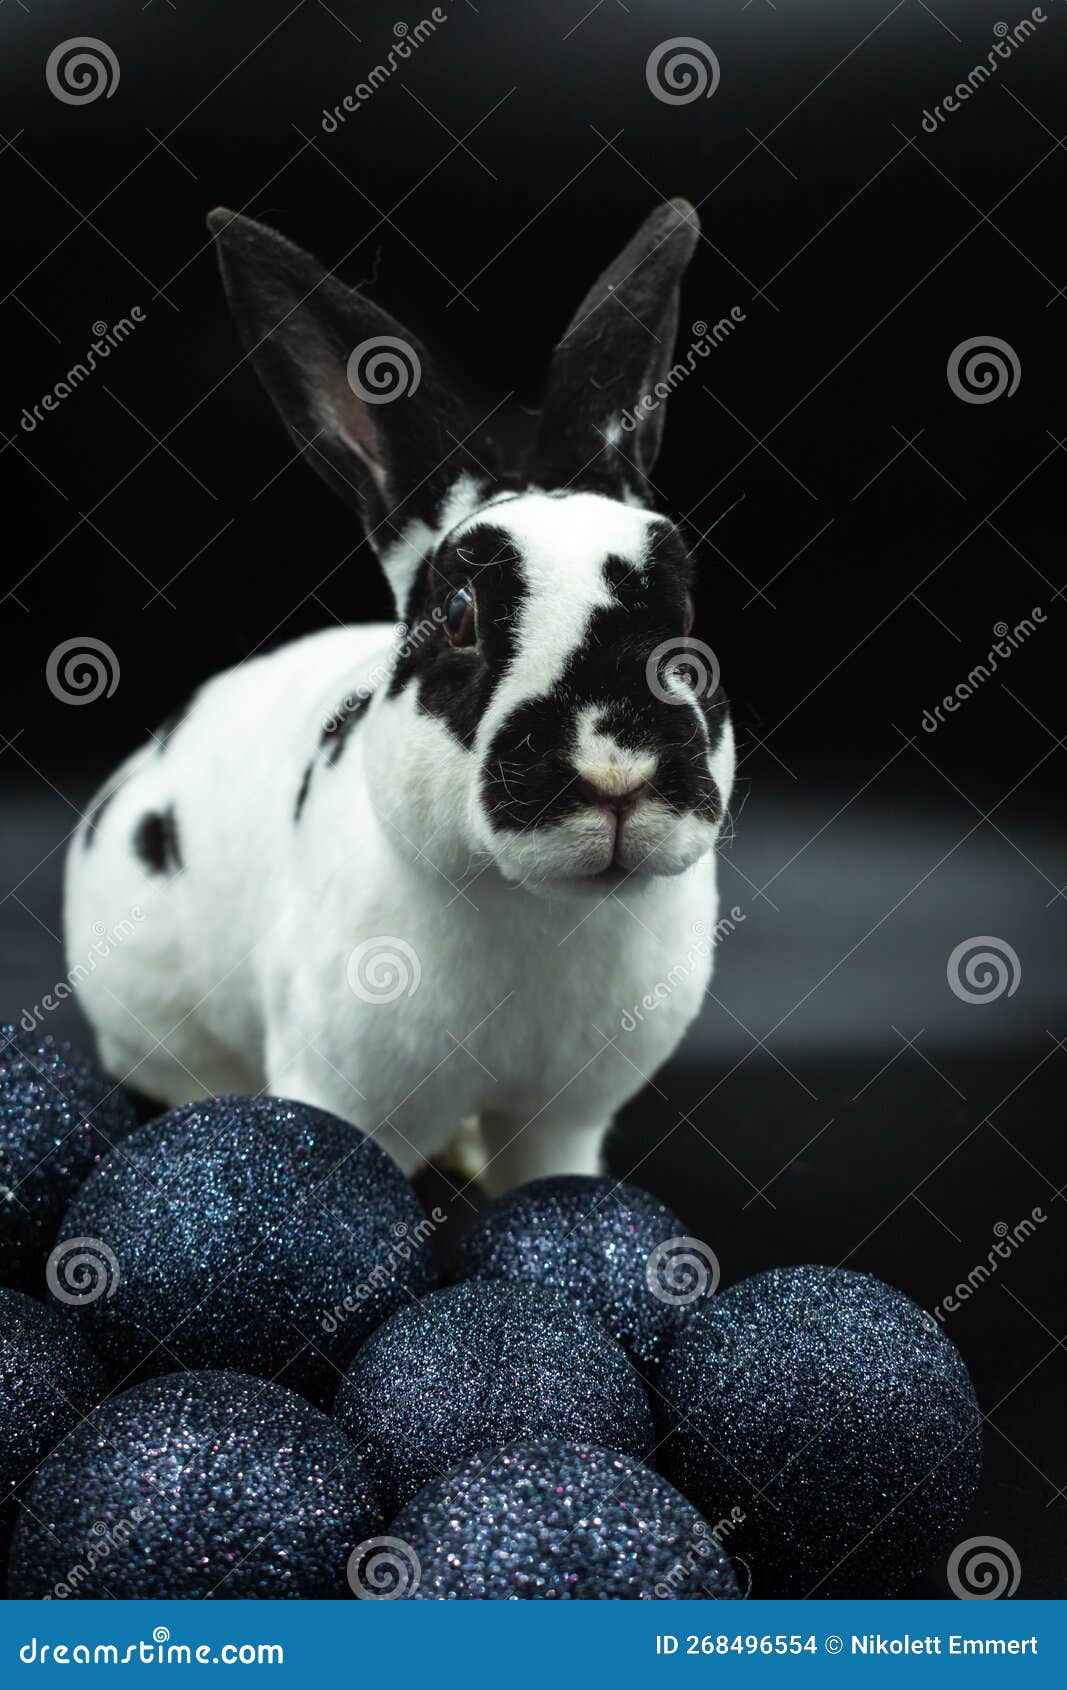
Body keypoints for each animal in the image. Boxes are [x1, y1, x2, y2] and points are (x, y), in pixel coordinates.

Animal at [63, 196, 736, 1195]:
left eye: (685, 619)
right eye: (456, 618)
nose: (615, 773)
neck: (534, 909)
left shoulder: (562, 1121)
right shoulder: (342, 1089)